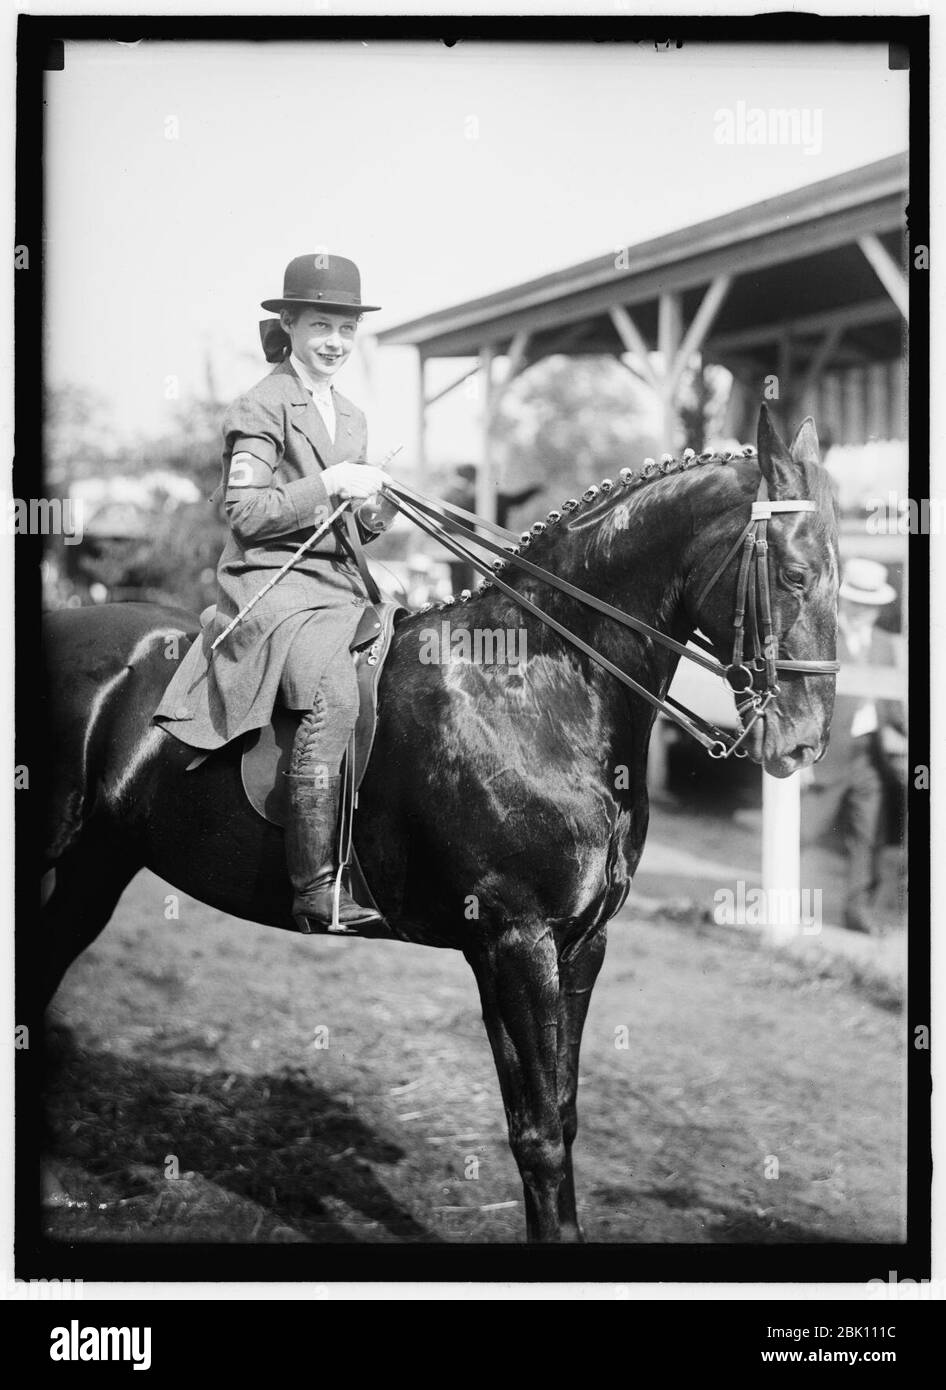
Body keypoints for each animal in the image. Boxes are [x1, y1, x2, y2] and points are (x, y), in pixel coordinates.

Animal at [39, 406, 839, 1243]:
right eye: (793, 575)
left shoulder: (569, 946)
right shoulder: (518, 942)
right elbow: (541, 1136)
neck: (536, 688)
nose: (805, 741)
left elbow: (553, 1117)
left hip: (99, 863)